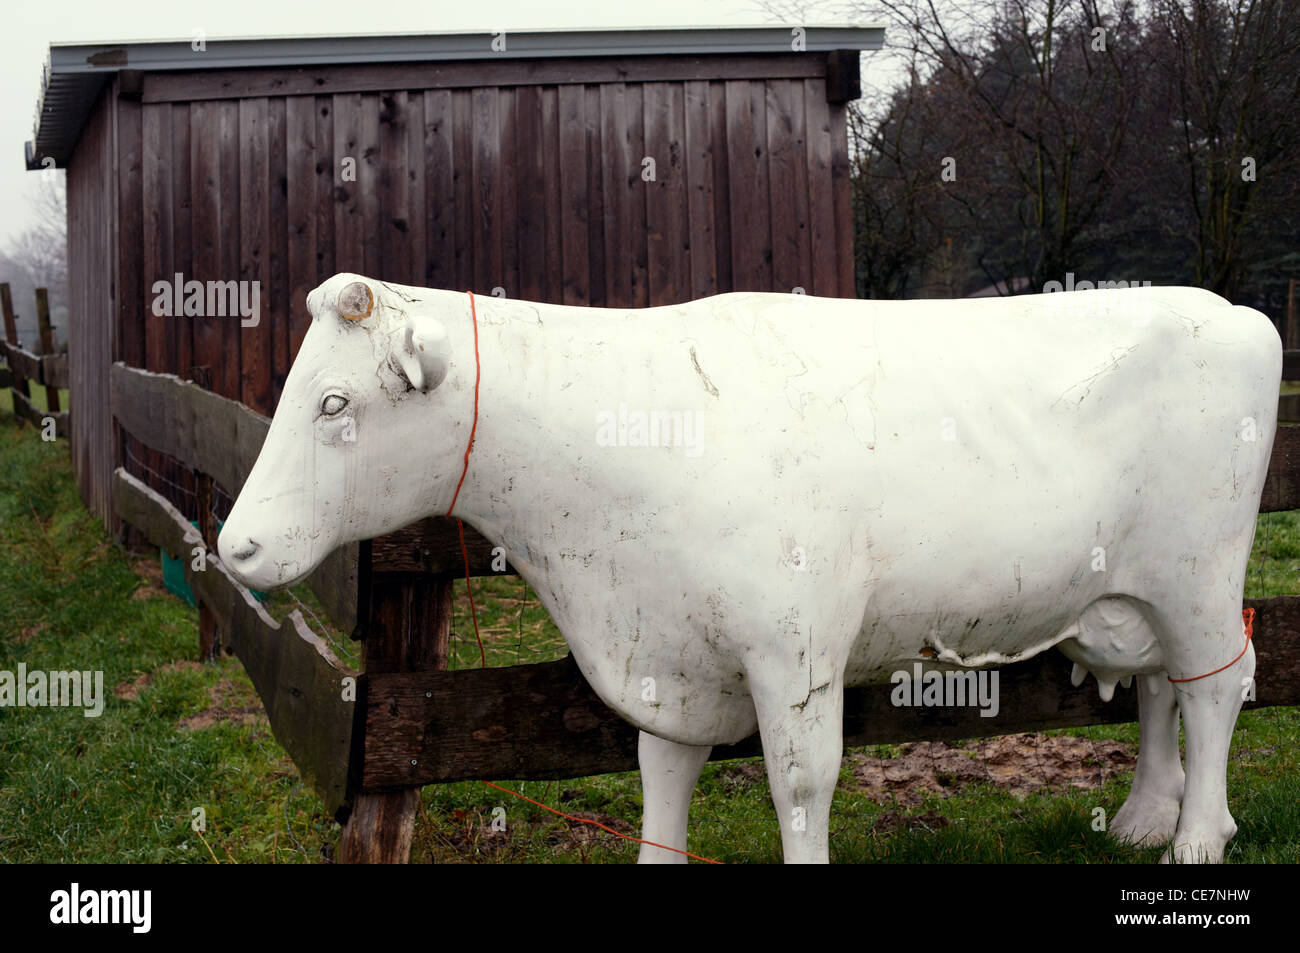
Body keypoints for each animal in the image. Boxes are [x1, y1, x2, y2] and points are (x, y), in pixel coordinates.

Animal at [218, 273, 1280, 864]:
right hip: (1132, 586)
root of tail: (1228, 308)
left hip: (1199, 570)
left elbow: (800, 786)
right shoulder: (668, 654)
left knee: (1215, 687)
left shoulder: (794, 649)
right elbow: (661, 773)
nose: (235, 546)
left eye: (334, 402)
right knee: (1159, 684)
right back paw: (1144, 815)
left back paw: (1197, 837)